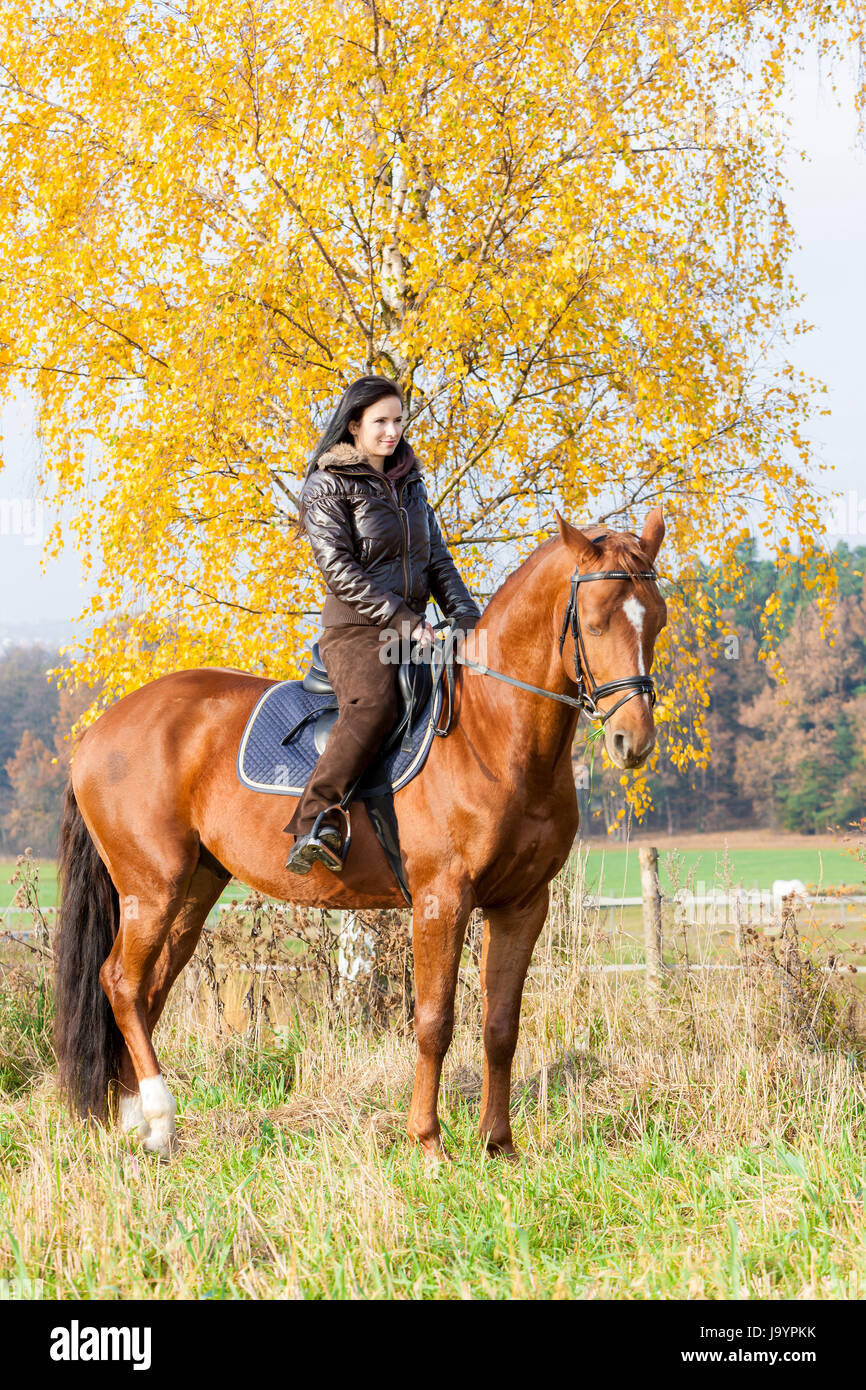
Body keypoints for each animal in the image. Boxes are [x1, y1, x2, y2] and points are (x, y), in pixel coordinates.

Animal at [54, 509, 667, 1161]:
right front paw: (428, 1143)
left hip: (193, 889)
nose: (633, 740)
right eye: (596, 623)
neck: (493, 731)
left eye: (657, 619)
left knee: (147, 990)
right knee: (121, 982)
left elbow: (501, 1025)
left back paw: (138, 1123)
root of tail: (99, 730)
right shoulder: (441, 901)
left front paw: (497, 1144)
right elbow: (434, 1022)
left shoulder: (523, 904)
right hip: (152, 888)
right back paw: (160, 1117)